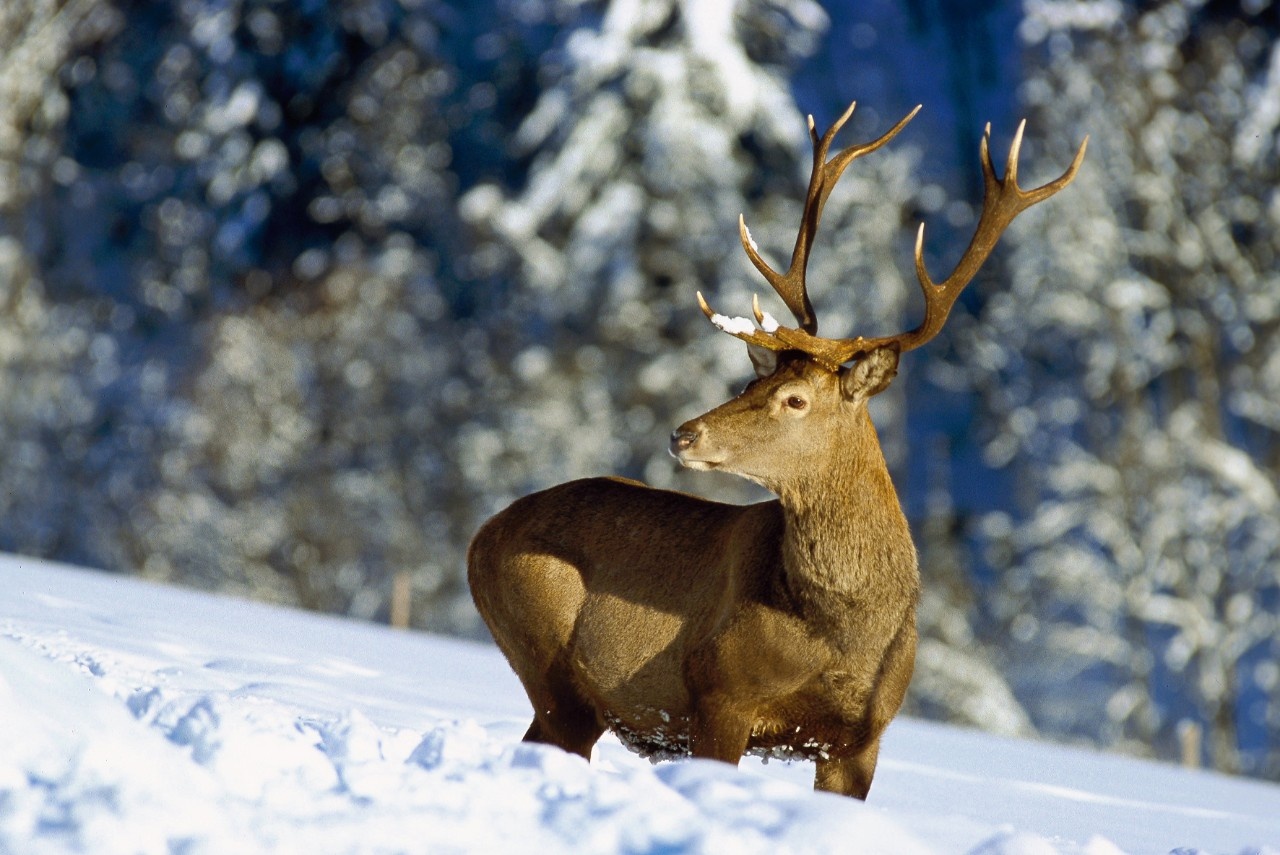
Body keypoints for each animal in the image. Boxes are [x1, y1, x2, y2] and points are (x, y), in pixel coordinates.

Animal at [468, 101, 1086, 799]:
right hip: (551, 665)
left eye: (793, 398)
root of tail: (481, 535)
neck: (844, 635)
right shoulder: (719, 693)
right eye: (749, 383)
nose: (684, 433)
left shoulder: (862, 738)